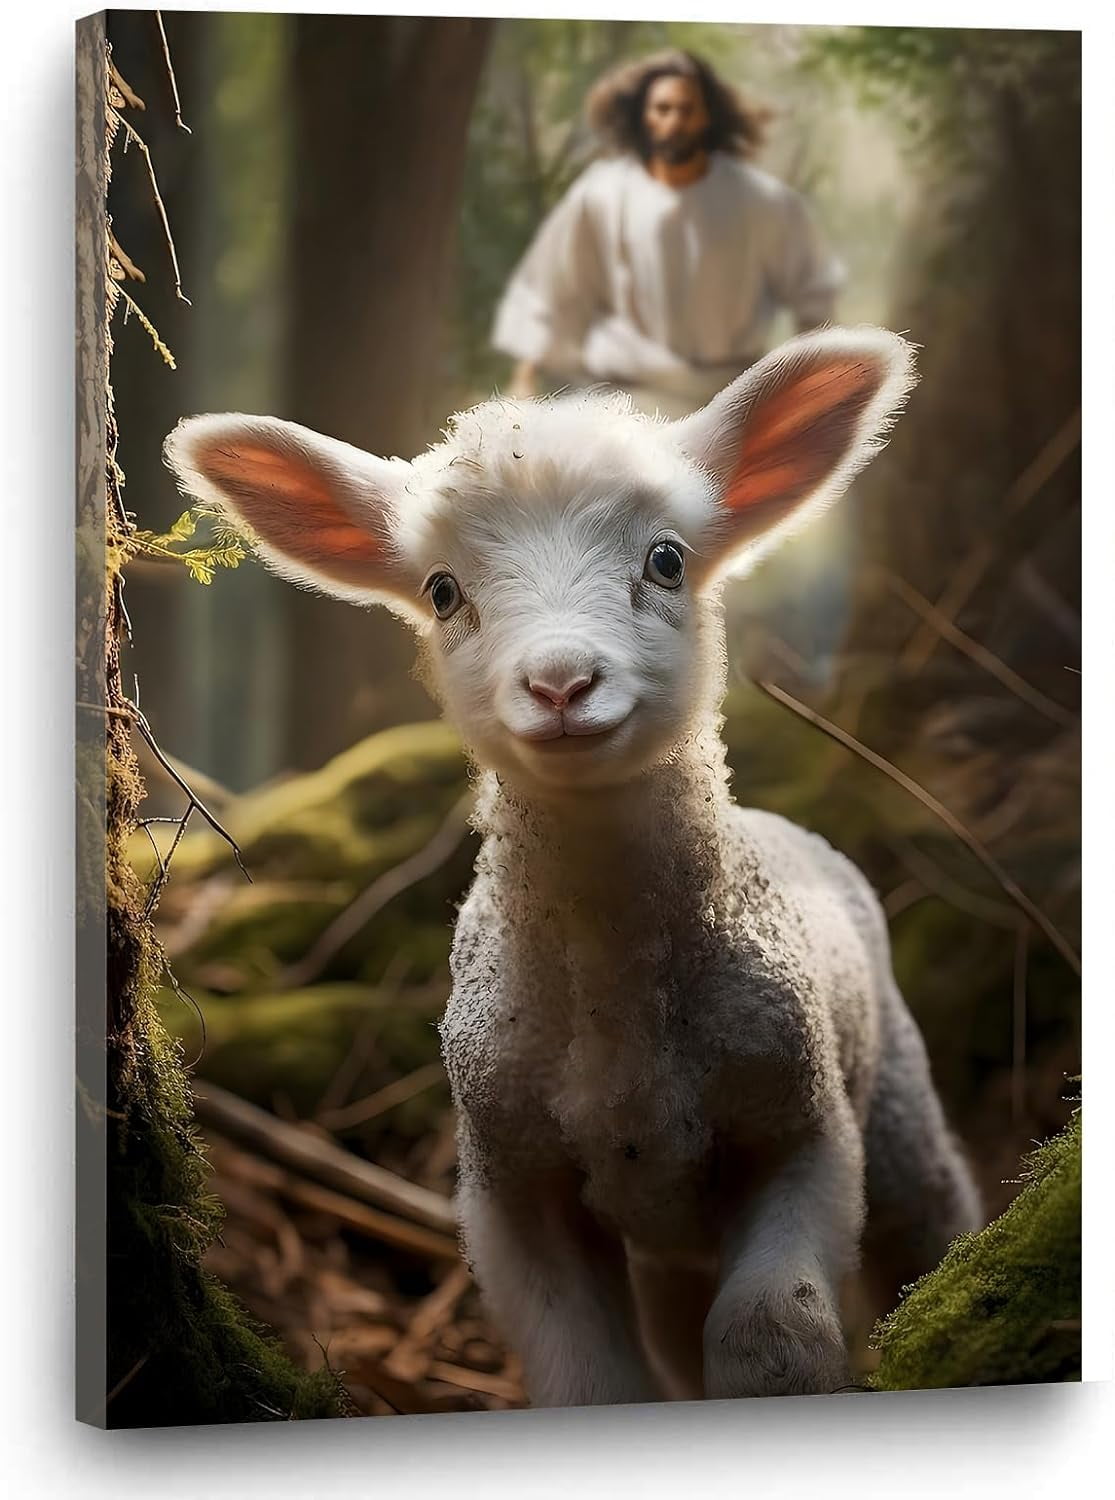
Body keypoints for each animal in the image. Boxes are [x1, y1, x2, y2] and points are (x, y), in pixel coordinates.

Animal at [165, 325, 982, 1408]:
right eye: (442, 591)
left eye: (666, 560)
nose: (560, 683)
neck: (617, 1017)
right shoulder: (511, 1183)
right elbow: (593, 1382)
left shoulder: (802, 1132)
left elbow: (772, 1336)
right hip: (673, 1238)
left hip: (889, 1097)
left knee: (931, 1214)